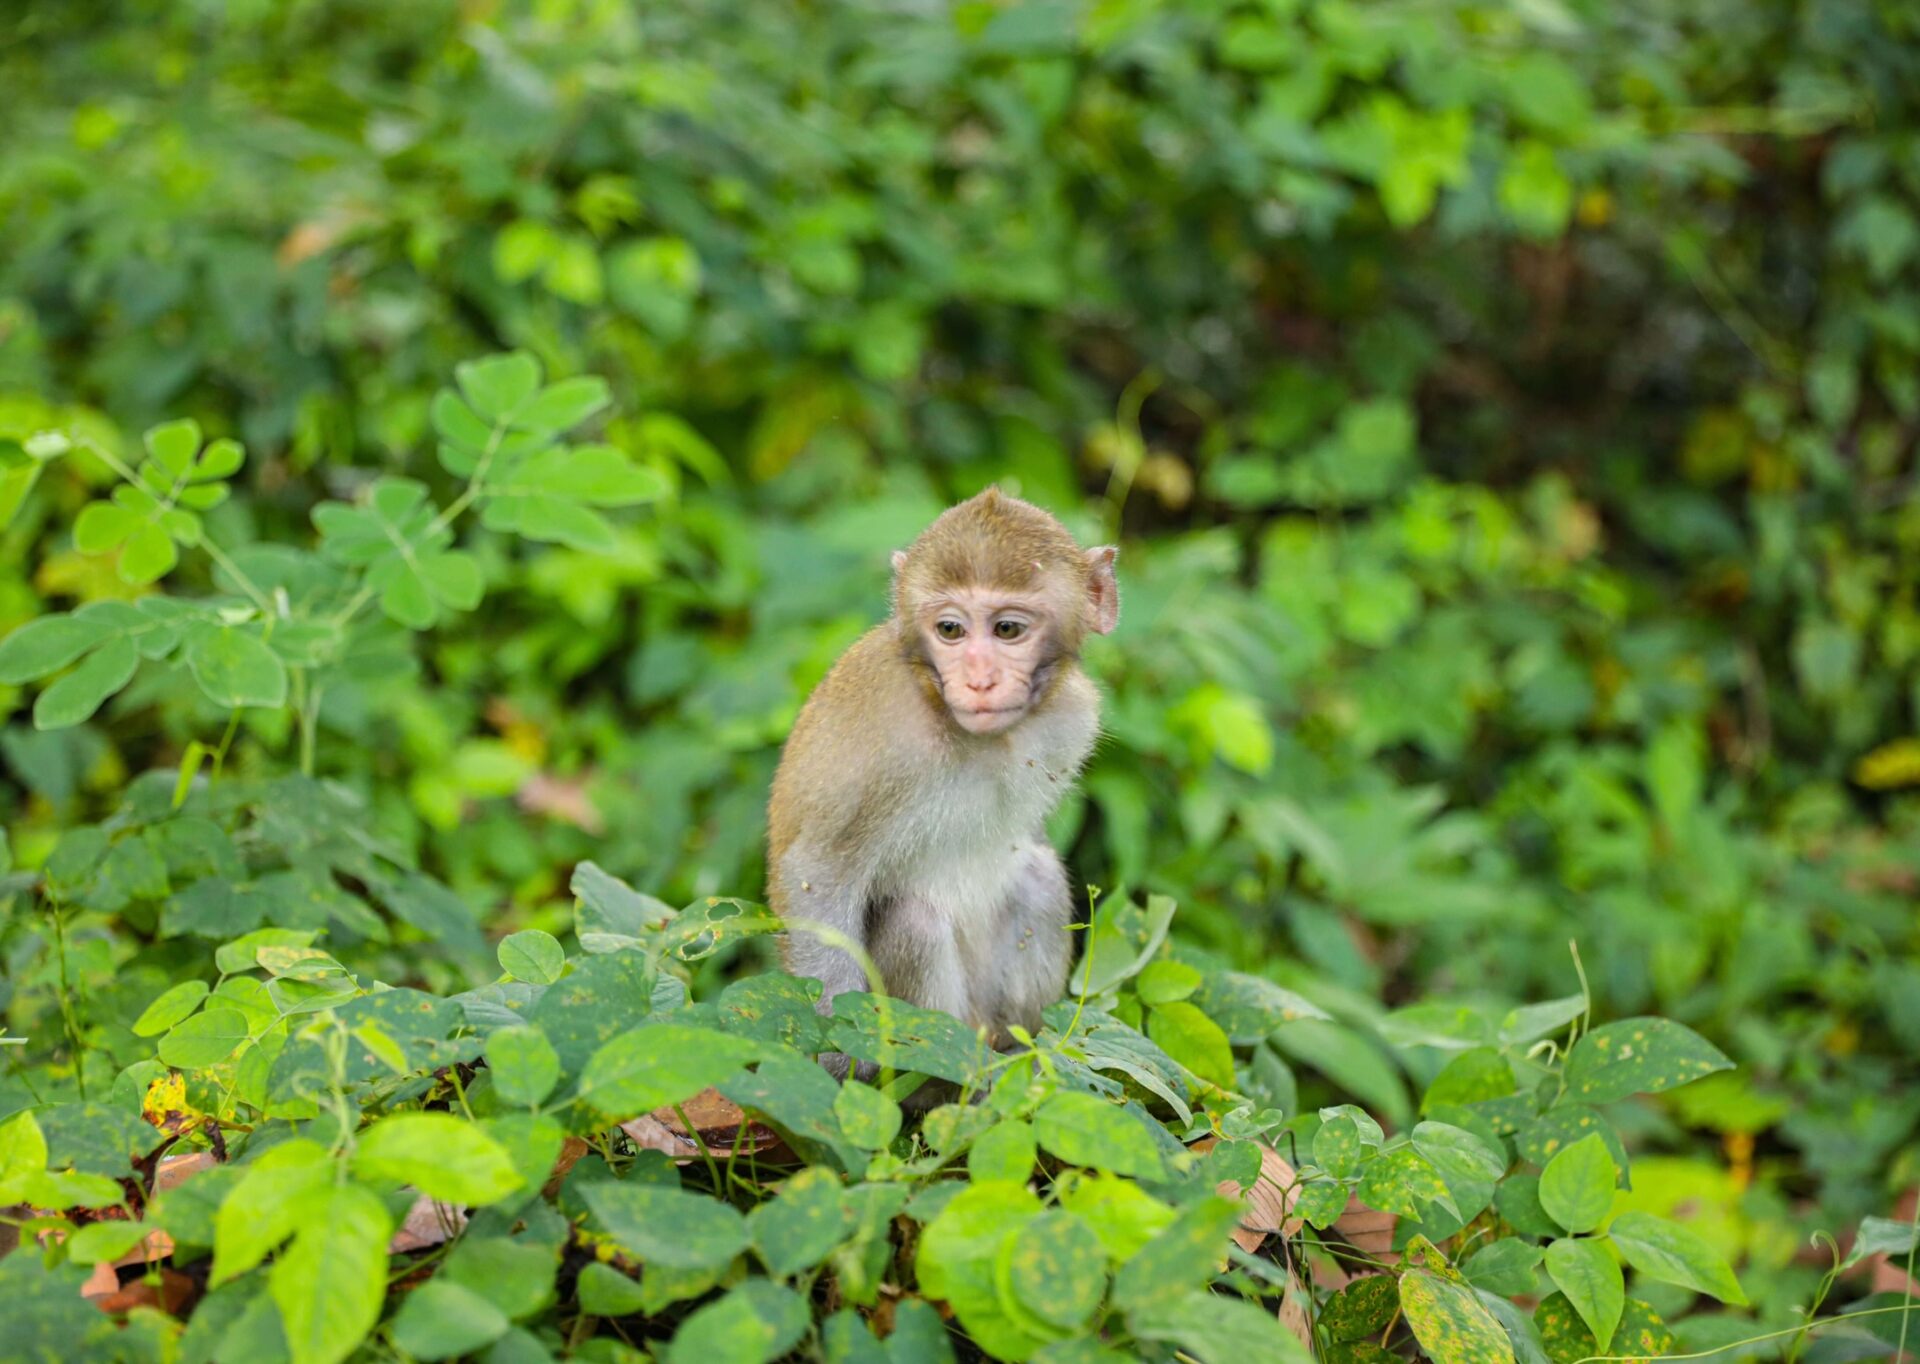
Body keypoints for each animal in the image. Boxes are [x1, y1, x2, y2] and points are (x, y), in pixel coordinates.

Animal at [767, 487, 1119, 1075]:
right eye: (950, 630)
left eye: (1007, 629)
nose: (978, 680)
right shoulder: (884, 741)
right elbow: (815, 873)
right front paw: (837, 1061)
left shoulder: (1072, 718)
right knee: (917, 922)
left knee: (1039, 877)